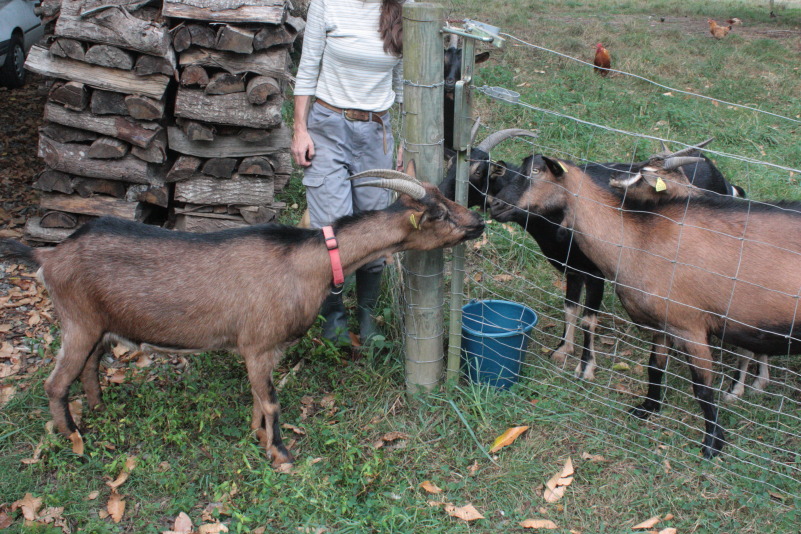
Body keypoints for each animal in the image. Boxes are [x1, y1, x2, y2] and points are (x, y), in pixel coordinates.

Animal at [0, 170, 484, 466]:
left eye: (446, 198)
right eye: (438, 213)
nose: (478, 222)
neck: (307, 262)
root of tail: (49, 257)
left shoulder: (263, 351)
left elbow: (257, 396)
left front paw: (256, 436)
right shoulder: (258, 343)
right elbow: (271, 400)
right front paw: (281, 453)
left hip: (99, 326)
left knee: (89, 368)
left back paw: (100, 409)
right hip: (78, 322)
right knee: (56, 383)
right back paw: (74, 439)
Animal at [488, 155, 801, 458]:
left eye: (536, 171)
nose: (494, 205)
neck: (639, 239)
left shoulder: (690, 327)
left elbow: (702, 387)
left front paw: (713, 443)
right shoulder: (663, 325)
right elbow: (654, 367)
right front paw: (647, 408)